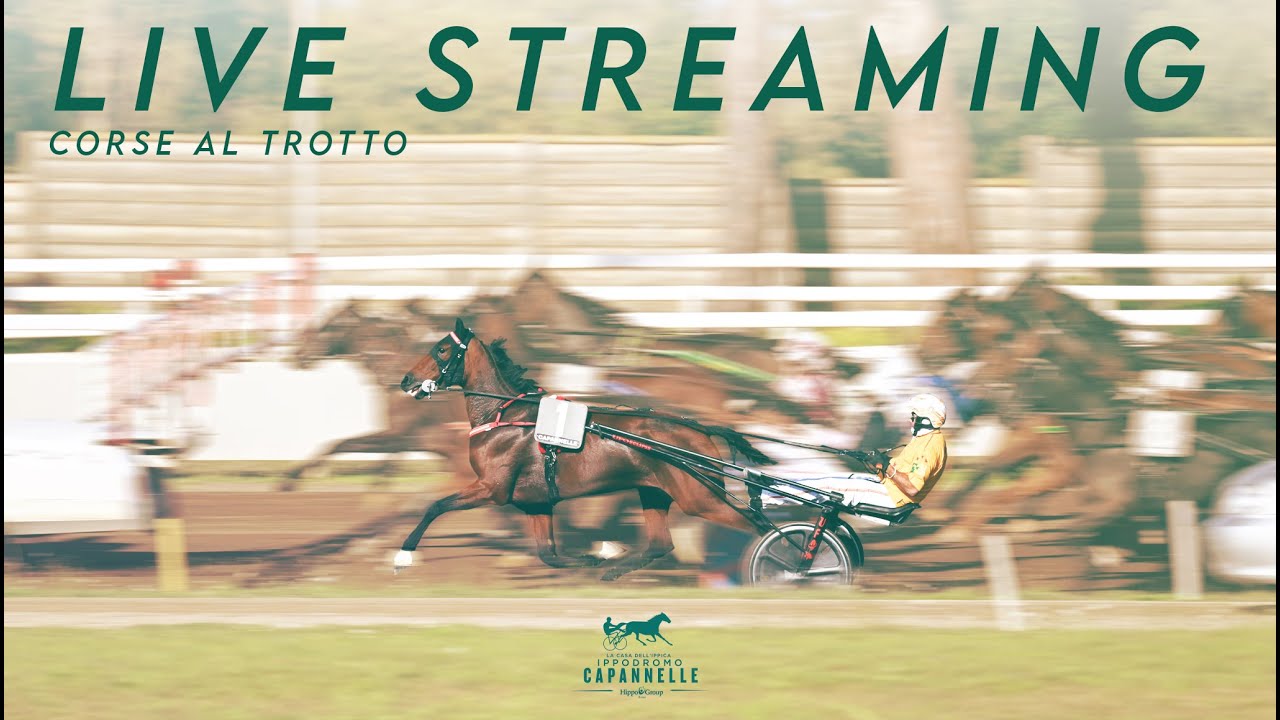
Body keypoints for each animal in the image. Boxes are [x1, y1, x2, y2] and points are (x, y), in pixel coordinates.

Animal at [394, 319, 775, 581]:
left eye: (442, 349)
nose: (406, 379)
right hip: (655, 491)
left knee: (759, 526)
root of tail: (699, 426)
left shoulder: (493, 489)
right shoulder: (536, 501)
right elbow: (547, 553)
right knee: (661, 544)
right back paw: (614, 568)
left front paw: (403, 556)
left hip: (699, 497)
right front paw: (593, 559)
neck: (502, 415)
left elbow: (435, 506)